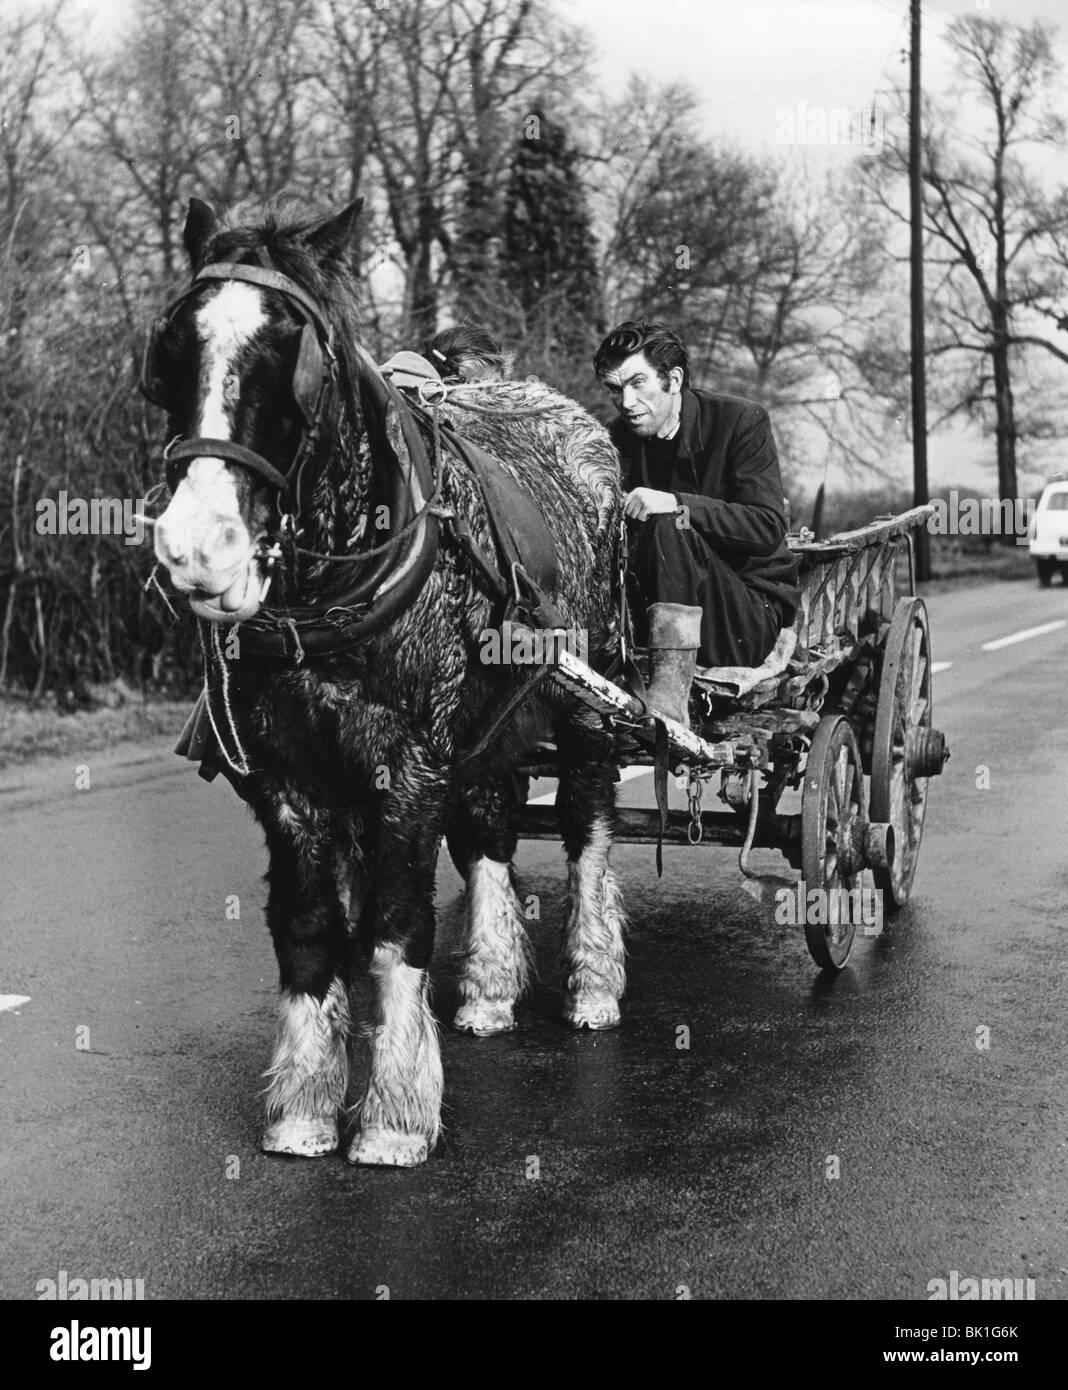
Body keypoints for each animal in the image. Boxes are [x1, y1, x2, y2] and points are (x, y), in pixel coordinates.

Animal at [148, 201, 628, 1167]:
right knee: (487, 830)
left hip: (585, 703)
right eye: (172, 351)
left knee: (587, 827)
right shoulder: (288, 782)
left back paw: (594, 984)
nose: (196, 549)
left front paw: (396, 1114)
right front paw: (302, 1106)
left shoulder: (406, 771)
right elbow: (308, 932)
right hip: (485, 726)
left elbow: (393, 925)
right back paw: (488, 990)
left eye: (292, 355)